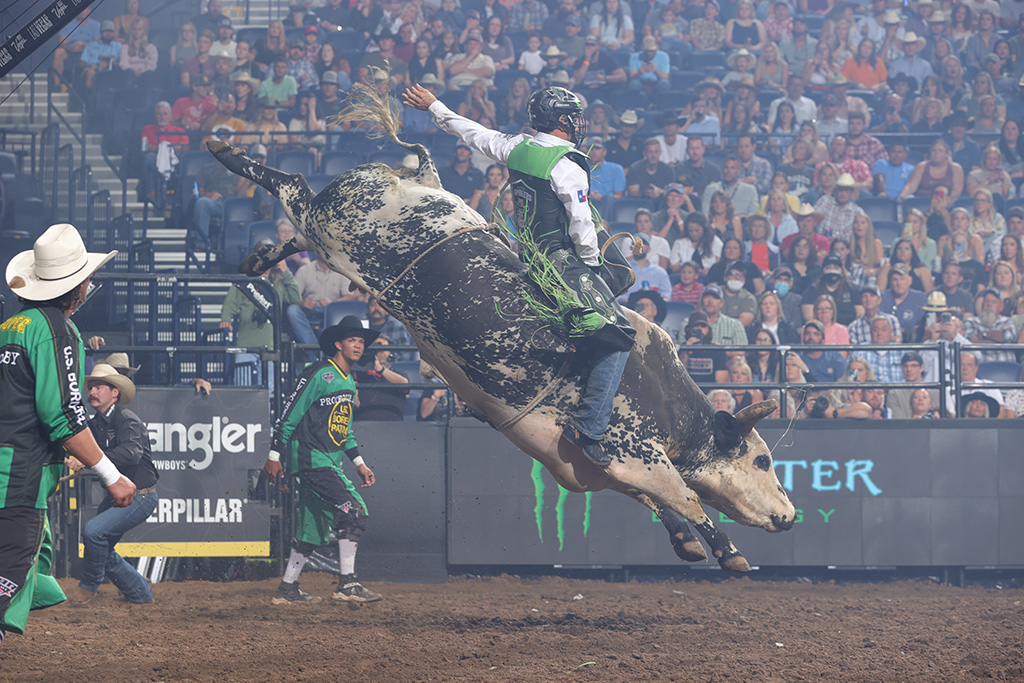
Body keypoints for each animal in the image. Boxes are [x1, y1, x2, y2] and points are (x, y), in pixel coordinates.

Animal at [206, 91, 795, 572]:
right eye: (762, 459)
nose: (789, 517)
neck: (668, 402)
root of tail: (415, 182)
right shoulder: (635, 454)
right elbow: (685, 497)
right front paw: (727, 549)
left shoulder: (592, 470)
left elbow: (660, 503)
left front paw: (688, 542)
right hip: (331, 225)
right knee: (291, 186)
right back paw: (221, 149)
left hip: (325, 234)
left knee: (295, 223)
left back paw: (259, 255)